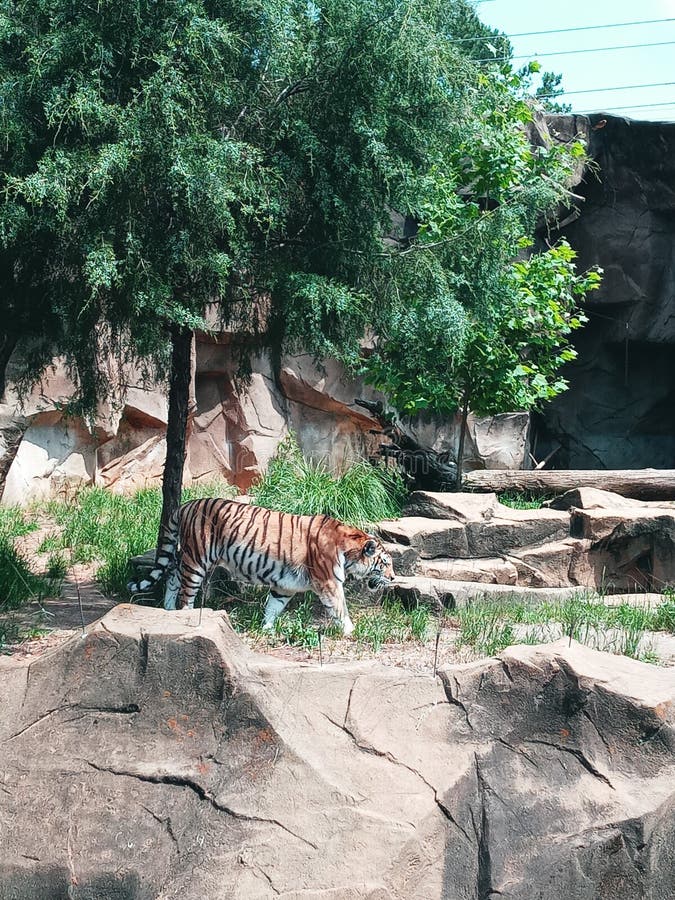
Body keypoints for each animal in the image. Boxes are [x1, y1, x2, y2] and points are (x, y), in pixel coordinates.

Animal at [128, 497, 395, 635]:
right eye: (385, 564)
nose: (393, 578)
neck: (348, 549)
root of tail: (185, 505)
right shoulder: (328, 582)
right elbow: (340, 607)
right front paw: (351, 630)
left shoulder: (285, 586)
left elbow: (273, 607)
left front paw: (266, 629)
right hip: (198, 557)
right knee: (186, 591)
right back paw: (184, 614)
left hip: (187, 554)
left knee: (172, 573)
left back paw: (168, 610)